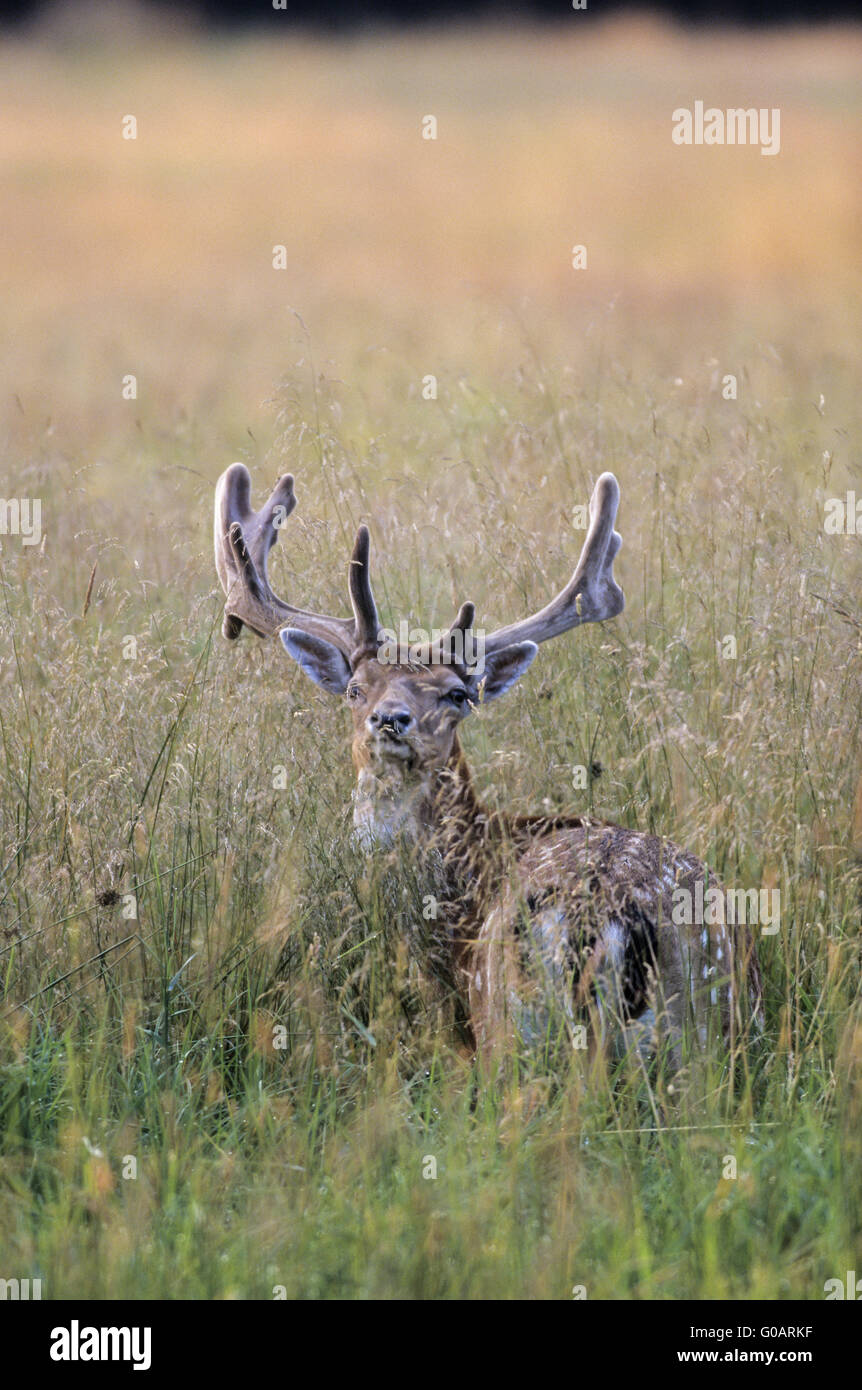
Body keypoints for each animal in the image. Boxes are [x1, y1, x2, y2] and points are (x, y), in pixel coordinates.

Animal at [213, 462, 763, 1075]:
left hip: (508, 1018)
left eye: (456, 695)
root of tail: (606, 915)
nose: (390, 719)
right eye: (356, 688)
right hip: (703, 1025)